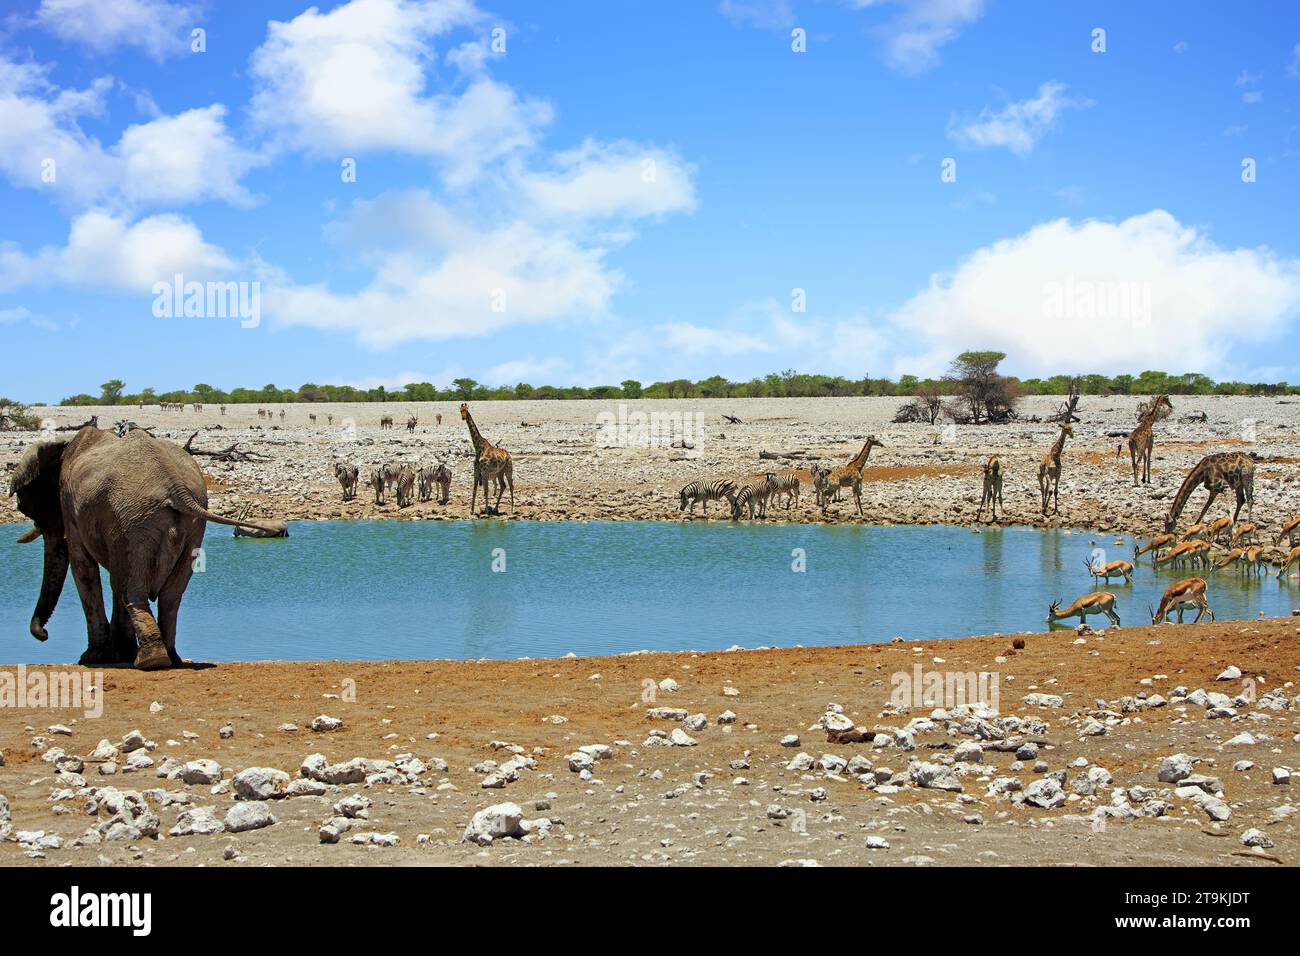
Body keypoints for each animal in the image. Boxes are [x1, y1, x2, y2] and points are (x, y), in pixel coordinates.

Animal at [8, 426, 283, 671]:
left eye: (26, 506)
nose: (43, 634)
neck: (63, 445)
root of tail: (175, 487)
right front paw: (119, 653)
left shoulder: (71, 507)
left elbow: (83, 570)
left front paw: (94, 658)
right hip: (185, 523)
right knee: (169, 594)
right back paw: (170, 659)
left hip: (135, 518)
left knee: (129, 586)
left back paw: (150, 661)